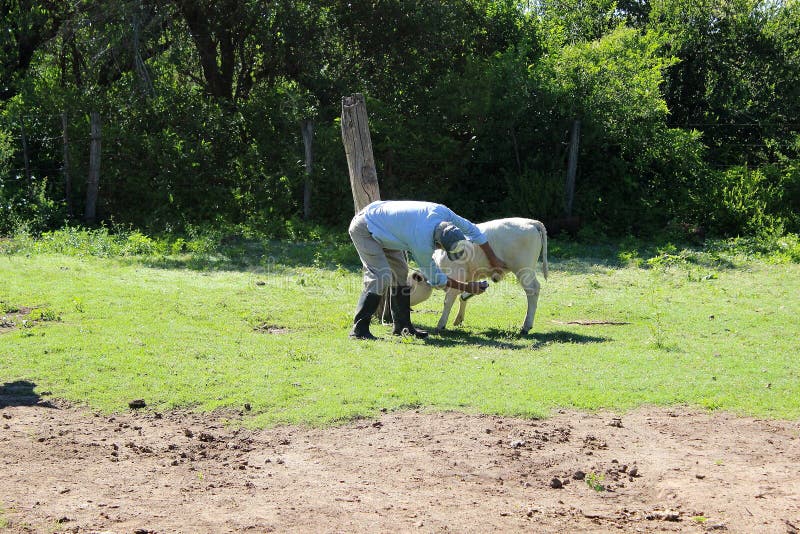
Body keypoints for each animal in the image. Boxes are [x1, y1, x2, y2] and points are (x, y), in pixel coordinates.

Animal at [408, 218, 548, 335]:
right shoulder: (469, 278)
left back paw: (526, 326)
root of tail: (530, 222)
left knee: (533, 290)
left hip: (524, 270)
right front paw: (459, 318)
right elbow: (464, 296)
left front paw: (441, 324)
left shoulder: (456, 276)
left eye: (409, 287)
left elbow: (448, 302)